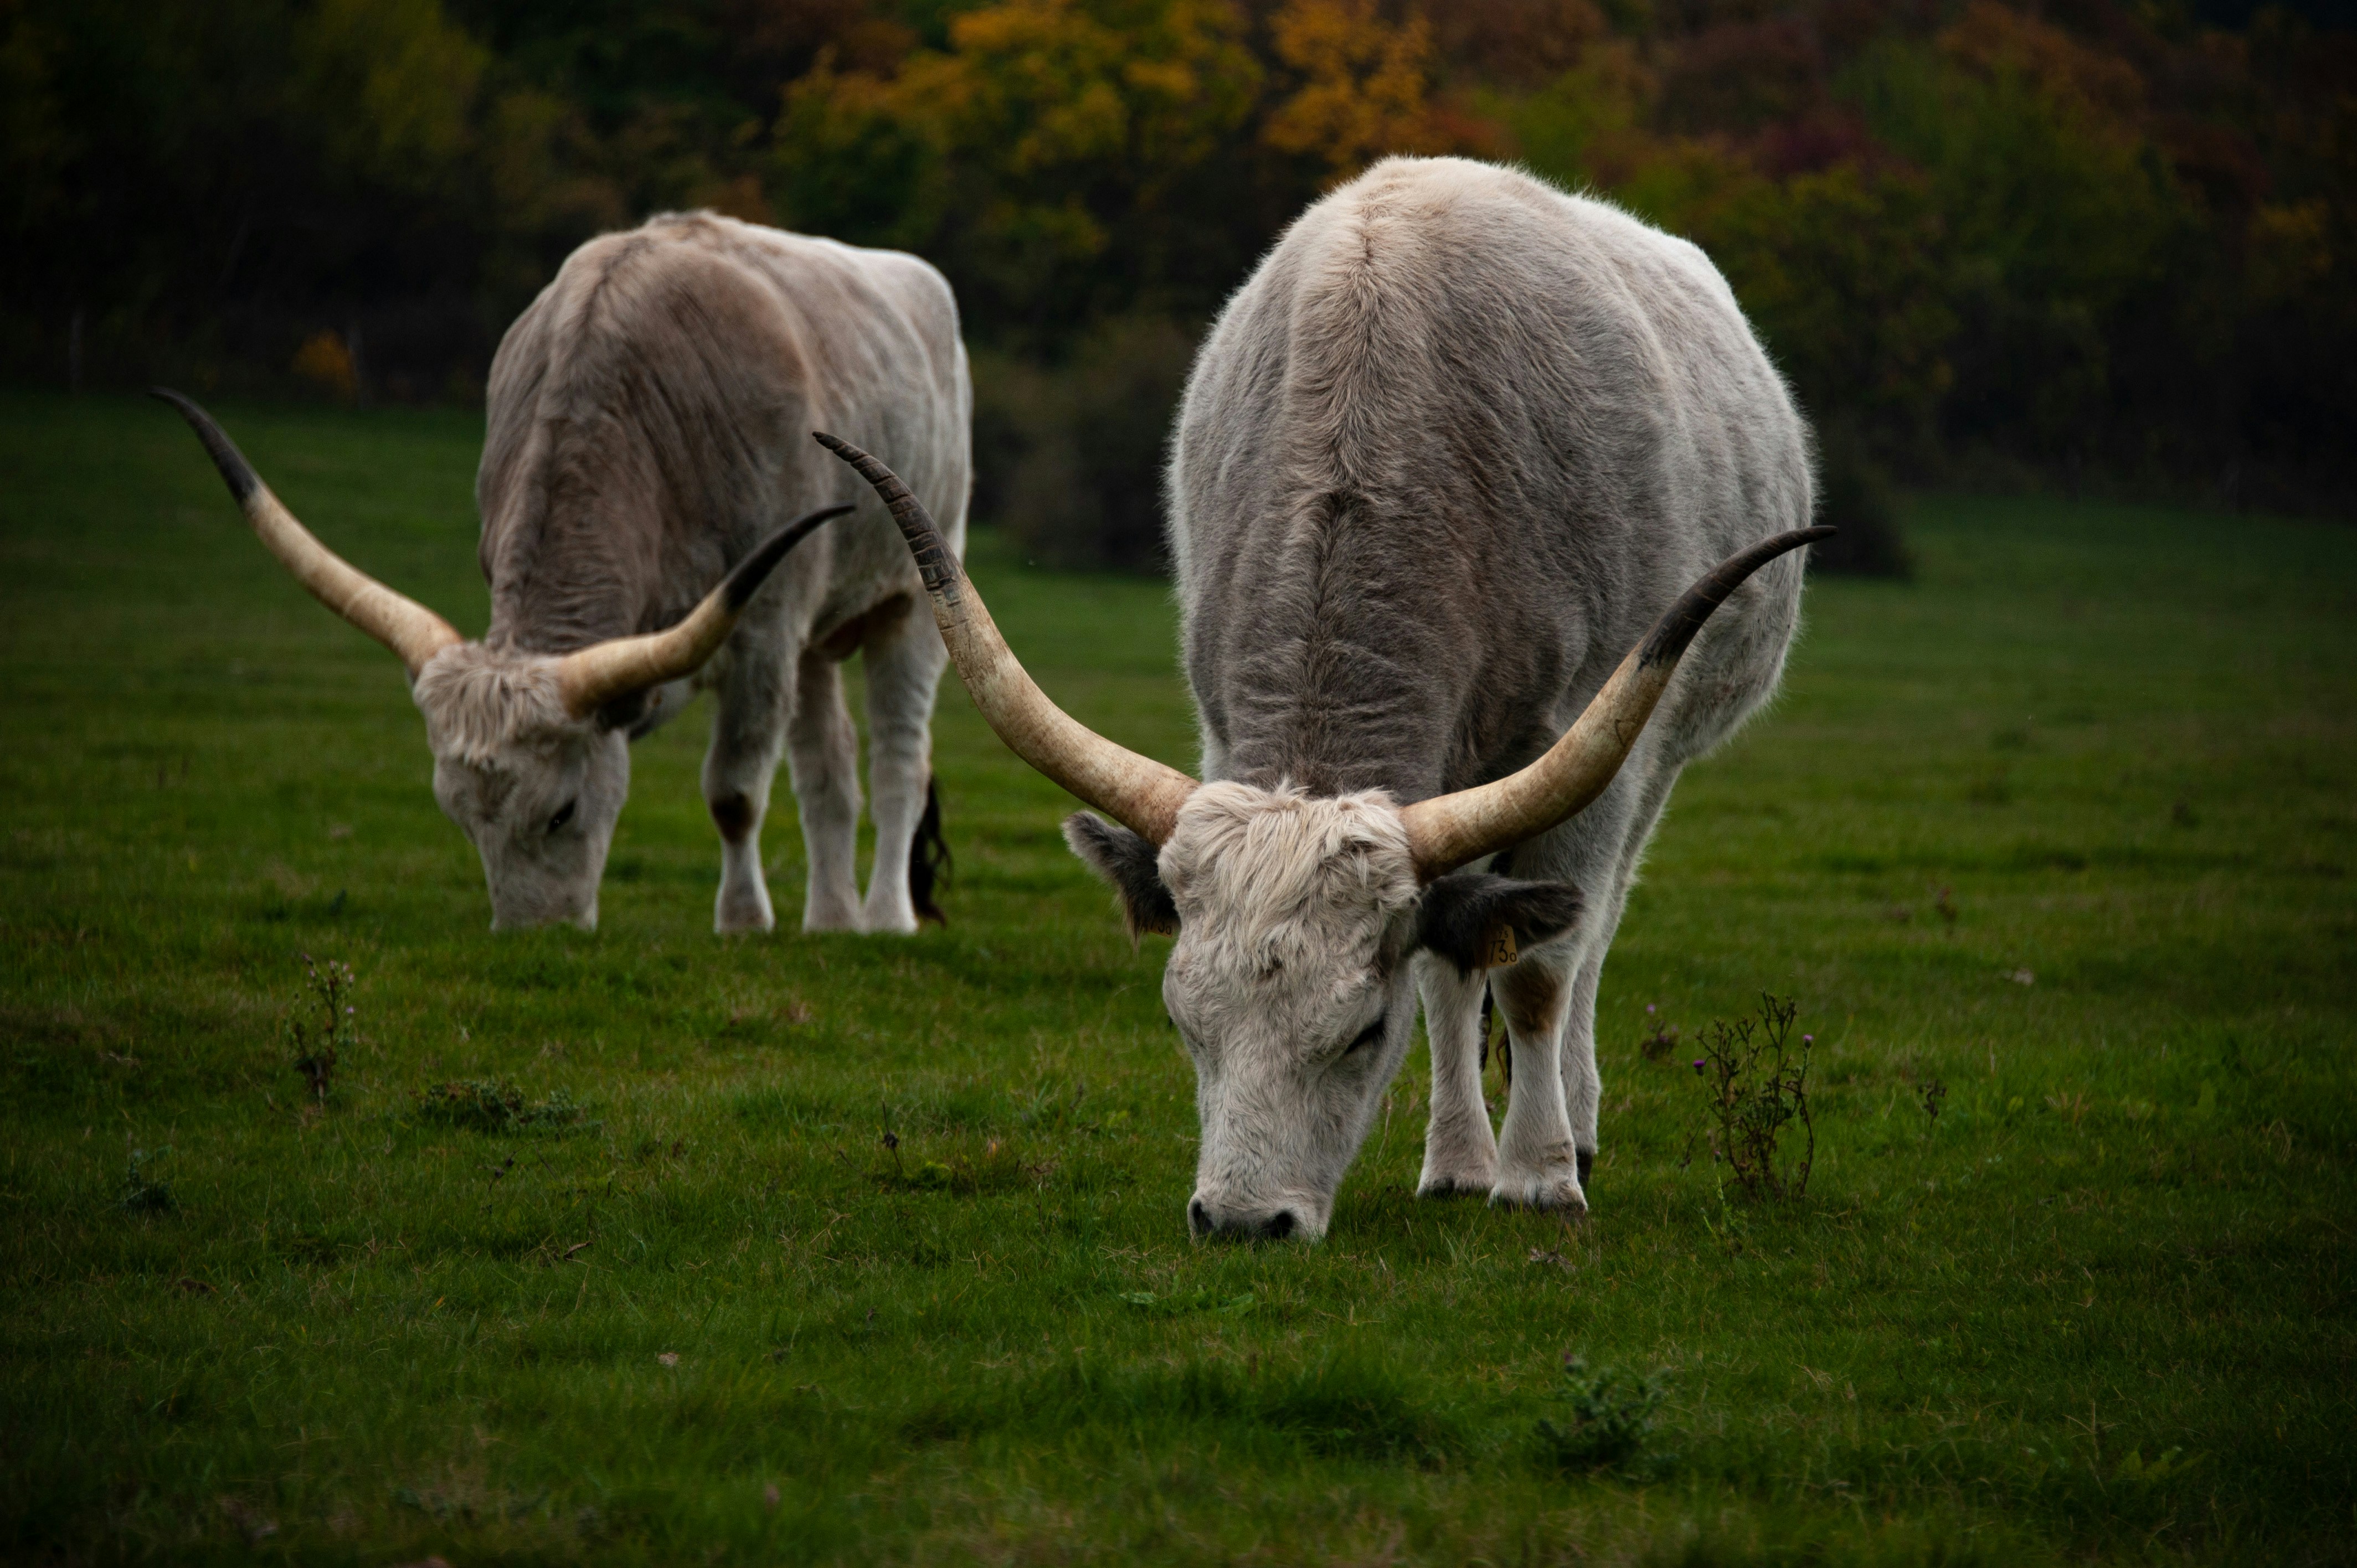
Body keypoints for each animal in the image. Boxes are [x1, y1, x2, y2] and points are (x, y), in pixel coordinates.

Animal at [159, 211, 970, 934]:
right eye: (459, 817)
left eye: (563, 812)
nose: (533, 934)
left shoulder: (765, 626)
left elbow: (734, 792)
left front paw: (742, 922)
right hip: (819, 635)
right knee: (827, 765)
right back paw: (832, 920)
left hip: (911, 598)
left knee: (898, 757)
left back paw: (885, 919)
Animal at [819, 157, 1829, 1242]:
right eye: (1182, 1022)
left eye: (1360, 1033)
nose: (1238, 1221)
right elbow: (1447, 966)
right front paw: (1472, 1164)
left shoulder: (1600, 750)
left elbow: (1537, 975)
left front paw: (1542, 1178)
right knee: (1457, 964)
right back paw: (1458, 1159)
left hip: (1656, 758)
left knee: (1585, 934)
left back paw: (1572, 1128)